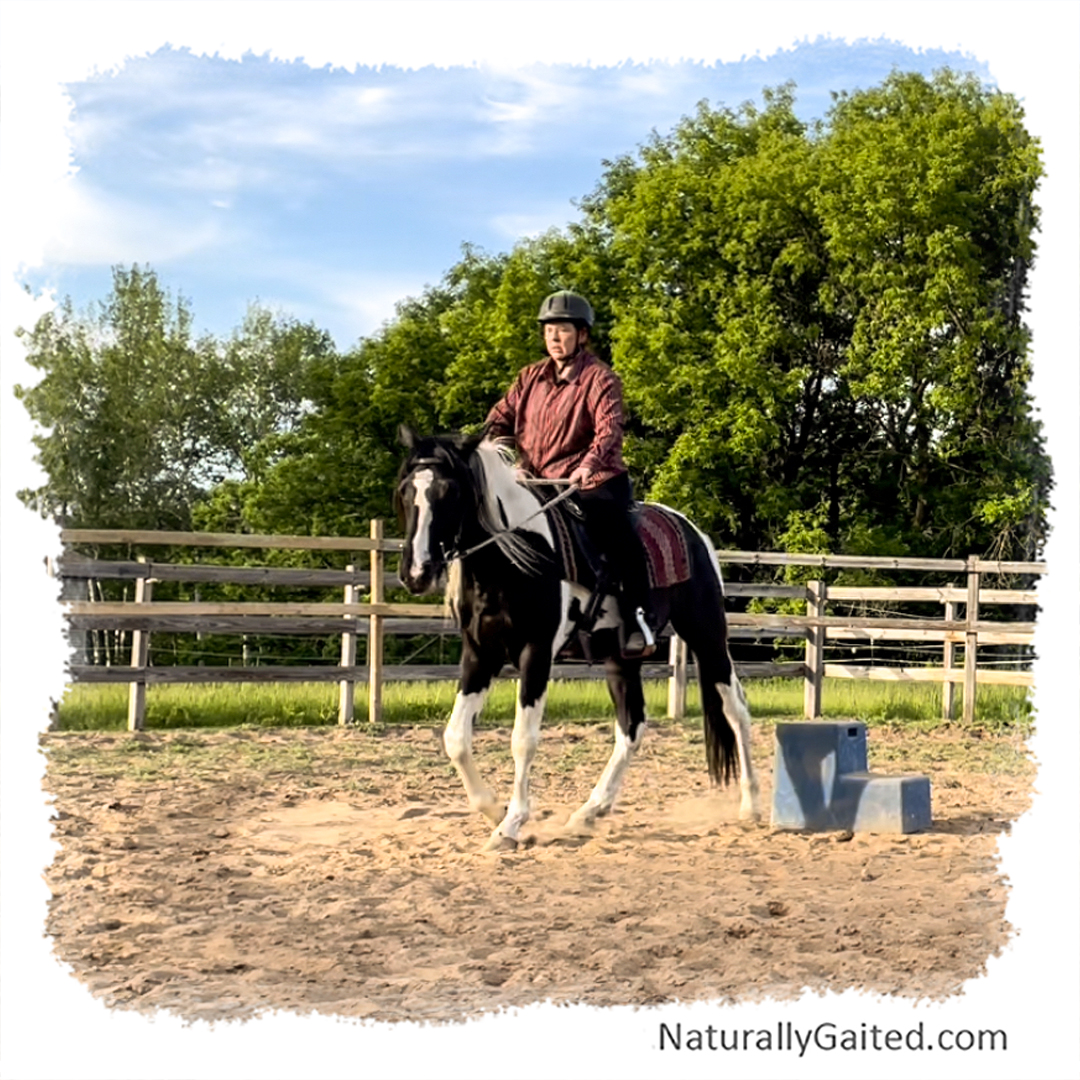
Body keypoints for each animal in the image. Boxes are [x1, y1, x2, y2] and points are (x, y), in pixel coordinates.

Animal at [395, 427, 759, 850]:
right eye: (406, 490)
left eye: (450, 492)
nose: (416, 572)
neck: (516, 558)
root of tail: (693, 532)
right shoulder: (479, 654)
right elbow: (455, 737)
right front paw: (494, 810)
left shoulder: (535, 653)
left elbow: (523, 738)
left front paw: (511, 823)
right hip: (621, 659)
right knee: (631, 726)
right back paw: (588, 812)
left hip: (707, 635)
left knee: (735, 709)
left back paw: (750, 804)